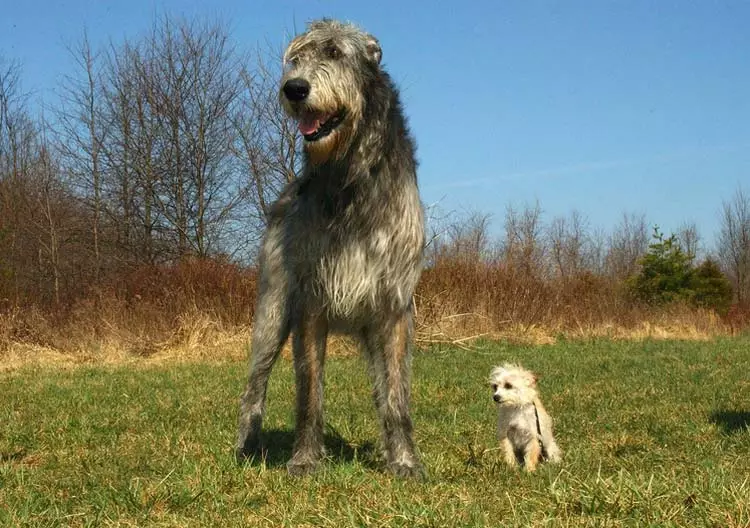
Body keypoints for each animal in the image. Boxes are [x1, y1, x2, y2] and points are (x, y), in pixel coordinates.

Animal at [238, 19, 426, 478]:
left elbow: (396, 396)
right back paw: (246, 446)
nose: (294, 89)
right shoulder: (310, 301)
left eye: (336, 53)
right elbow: (309, 391)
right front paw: (305, 459)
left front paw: (405, 460)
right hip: (271, 310)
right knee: (255, 385)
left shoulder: (395, 306)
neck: (350, 175)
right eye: (296, 59)